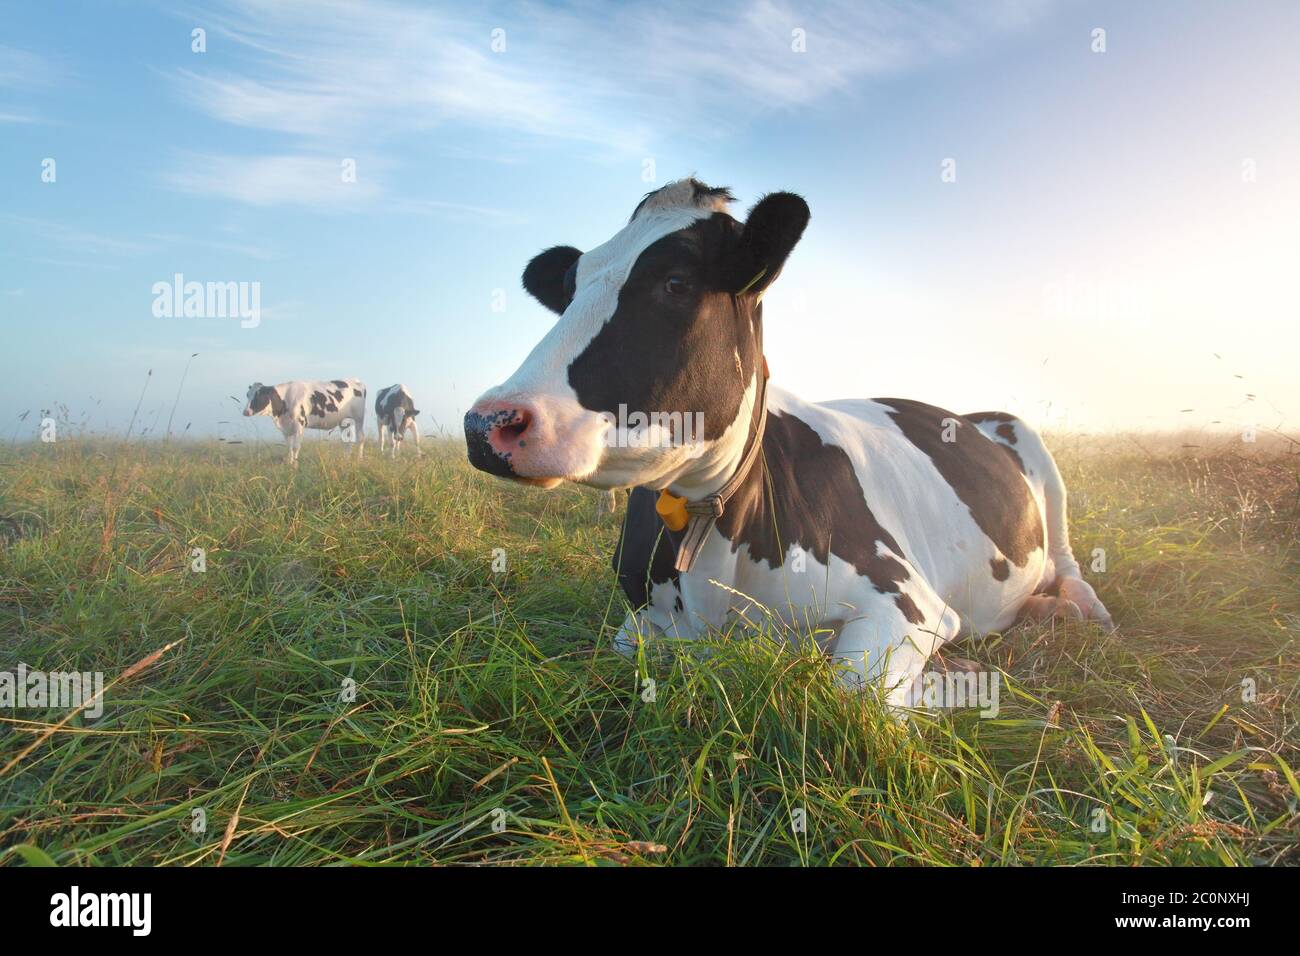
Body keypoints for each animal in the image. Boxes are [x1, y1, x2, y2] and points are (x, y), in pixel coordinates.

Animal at [463, 178, 1111, 708]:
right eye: (570, 292)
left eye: (676, 282)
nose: (488, 423)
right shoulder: (640, 618)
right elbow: (631, 649)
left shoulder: (906, 599)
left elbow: (855, 692)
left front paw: (953, 679)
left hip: (1032, 446)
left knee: (1067, 559)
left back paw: (1074, 606)